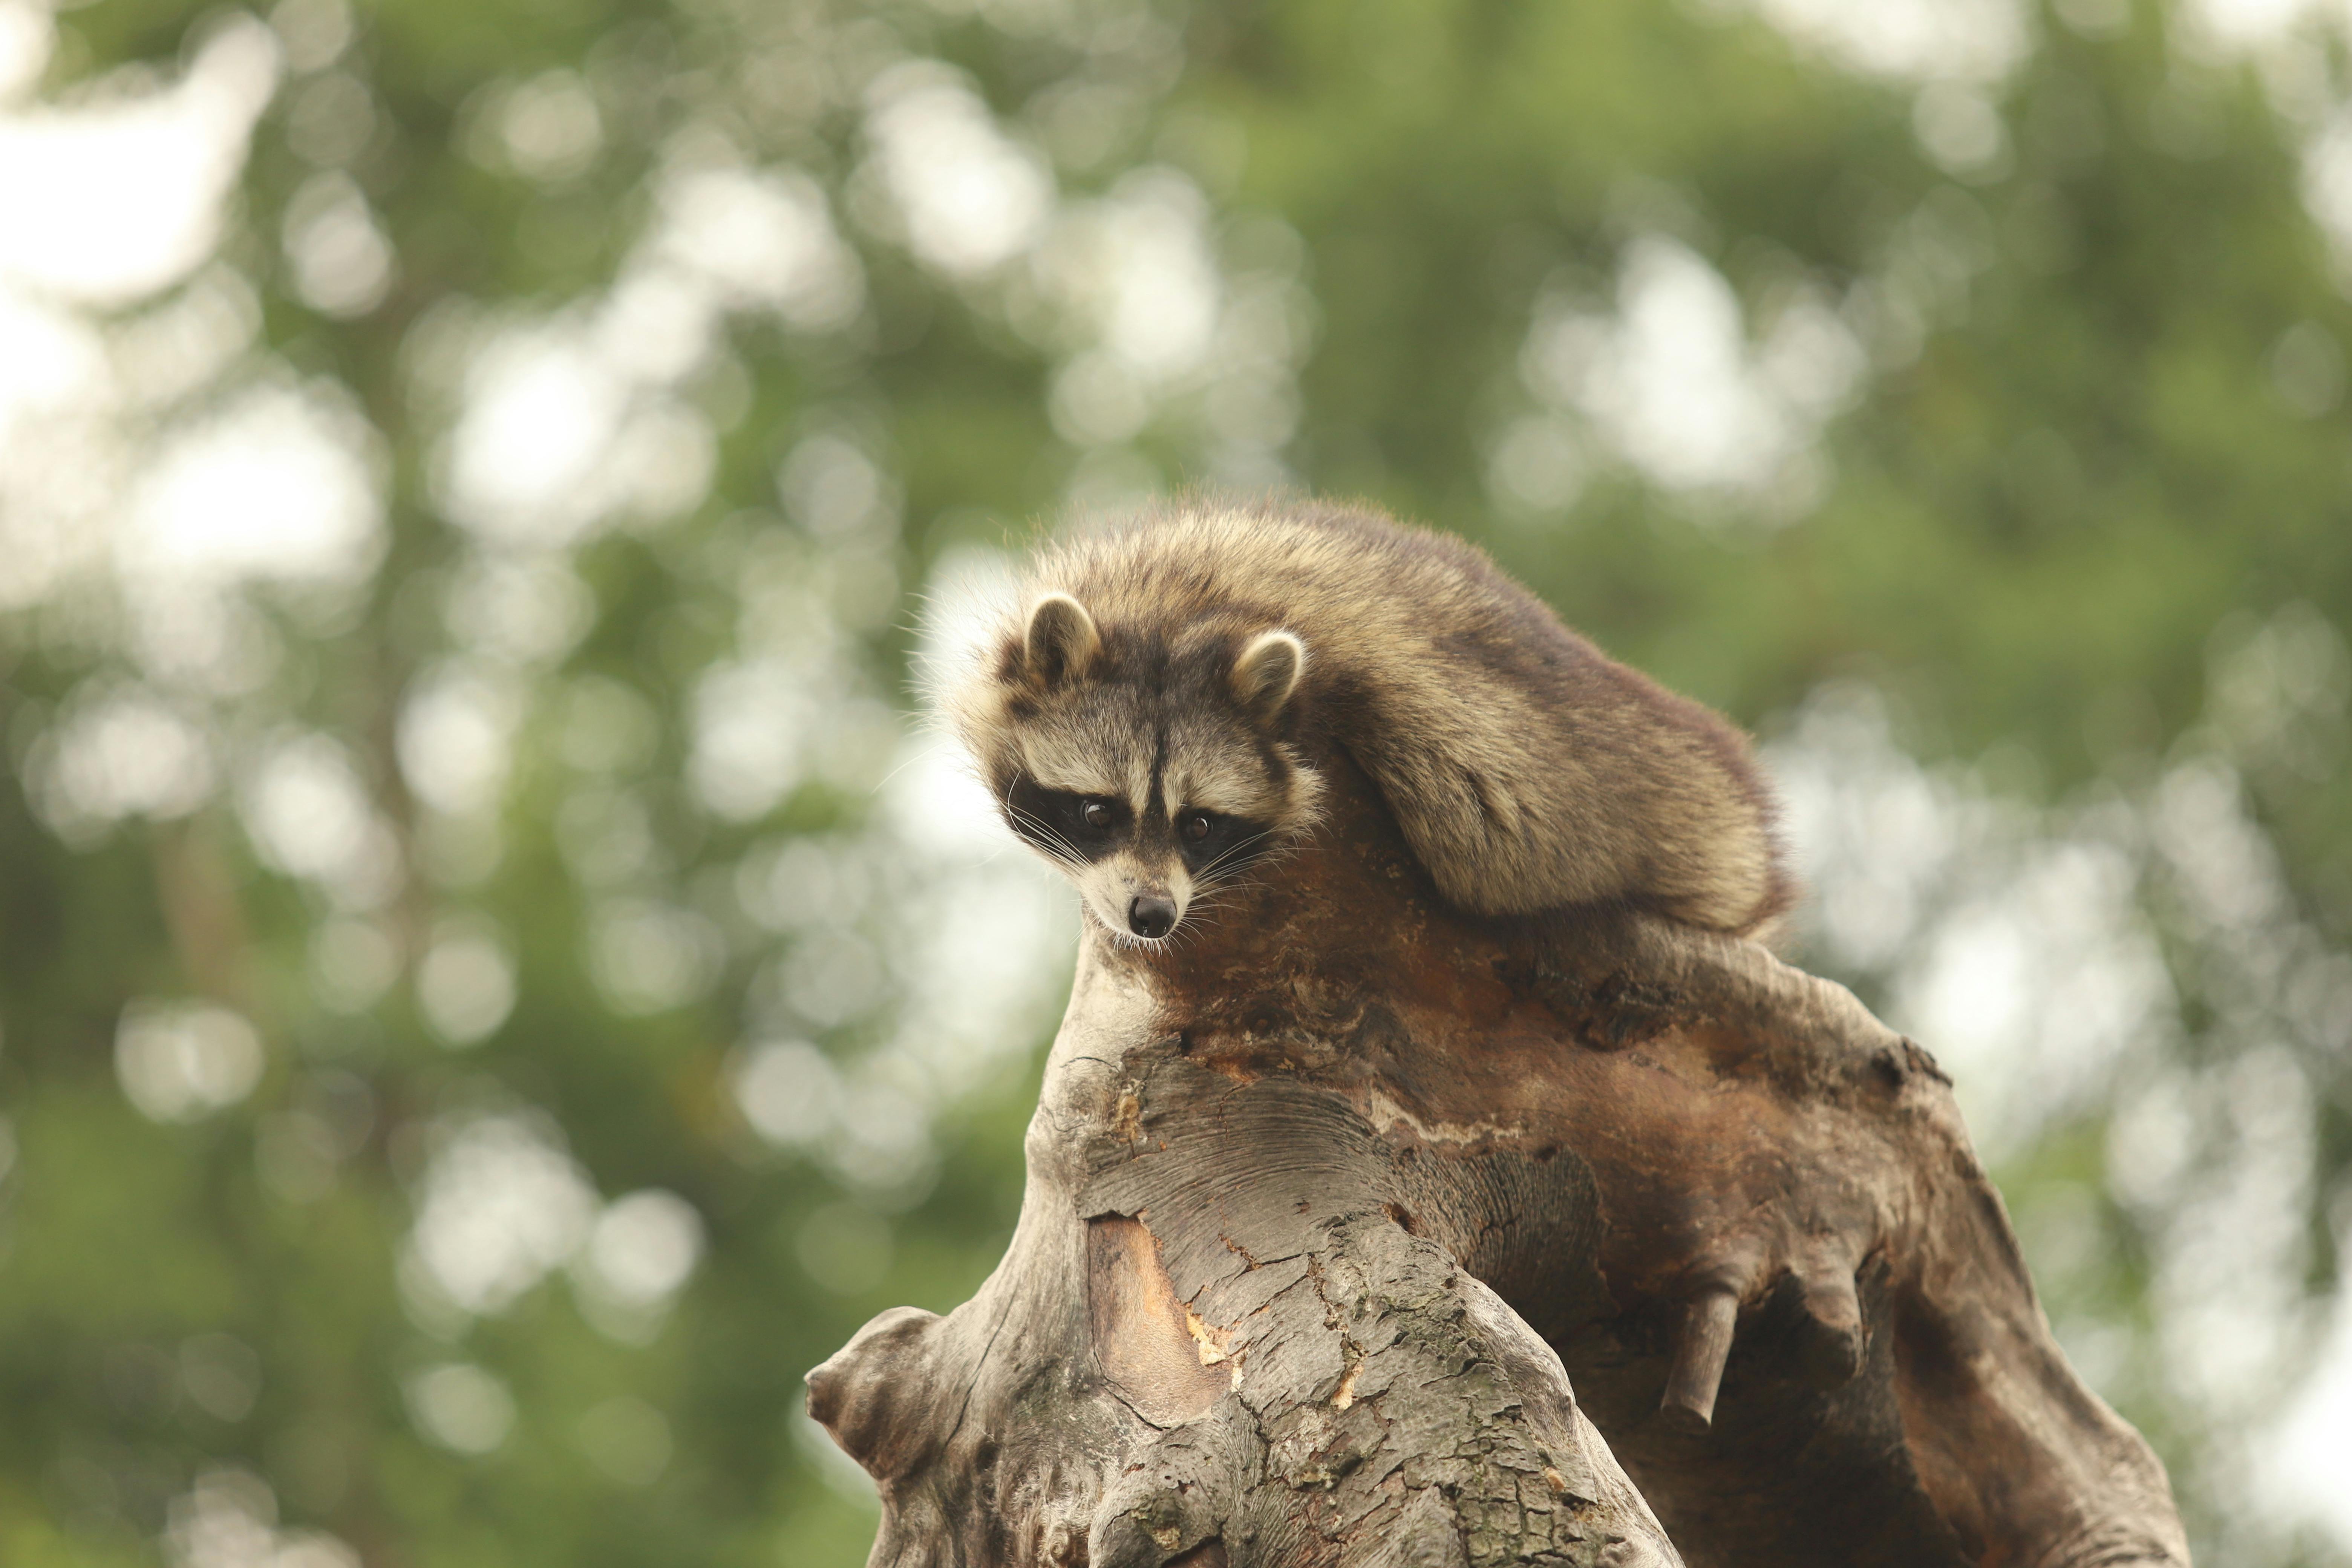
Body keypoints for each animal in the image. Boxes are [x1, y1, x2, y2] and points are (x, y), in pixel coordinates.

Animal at [942, 499, 1792, 945]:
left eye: (1201, 825)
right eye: (1098, 811)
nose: (1153, 915)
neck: (1181, 611)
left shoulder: (1435, 712)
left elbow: (1503, 828)